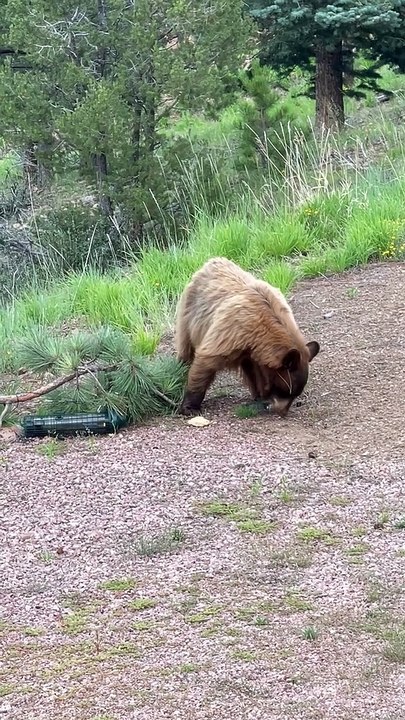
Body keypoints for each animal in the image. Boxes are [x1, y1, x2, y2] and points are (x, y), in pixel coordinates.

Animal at [175, 256, 320, 417]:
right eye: (286, 391)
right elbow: (207, 359)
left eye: (295, 394)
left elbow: (257, 373)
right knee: (186, 349)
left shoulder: (252, 348)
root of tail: (212, 261)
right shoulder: (232, 331)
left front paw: (261, 396)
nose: (282, 412)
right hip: (190, 313)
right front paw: (189, 406)